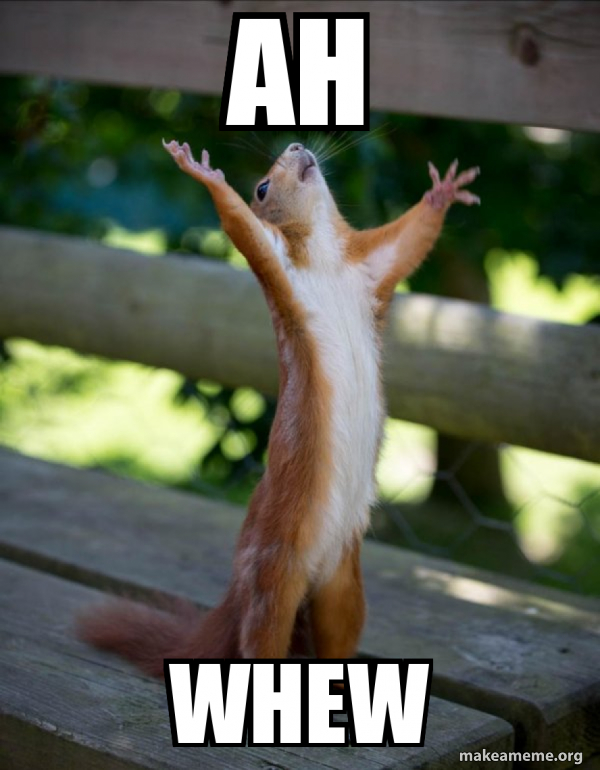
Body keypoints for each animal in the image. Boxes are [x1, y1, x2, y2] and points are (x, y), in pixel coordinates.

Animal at [77, 139, 479, 674]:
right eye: (262, 187)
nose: (295, 145)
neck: (326, 259)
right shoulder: (277, 265)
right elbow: (241, 227)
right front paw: (204, 173)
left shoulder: (372, 266)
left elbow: (410, 239)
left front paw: (442, 192)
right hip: (272, 580)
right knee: (261, 642)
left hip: (344, 589)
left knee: (337, 636)